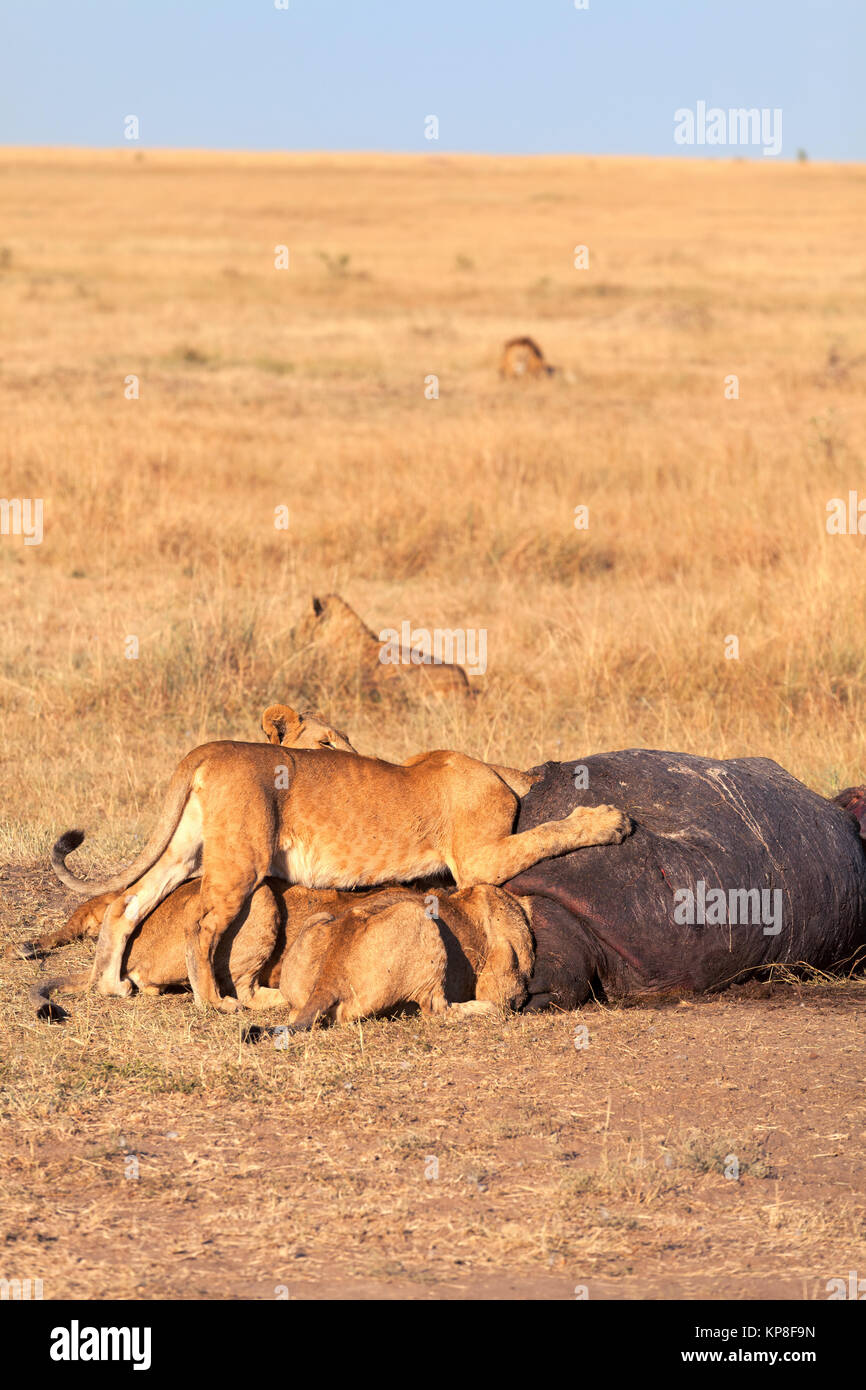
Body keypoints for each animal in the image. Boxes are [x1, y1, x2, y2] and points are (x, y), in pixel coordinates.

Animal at [51, 738, 630, 1011]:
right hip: (243, 860)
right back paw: (214, 1001)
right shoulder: (478, 860)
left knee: (127, 902)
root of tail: (210, 748)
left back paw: (111, 984)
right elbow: (546, 833)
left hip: (188, 851)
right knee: (200, 923)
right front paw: (609, 821)